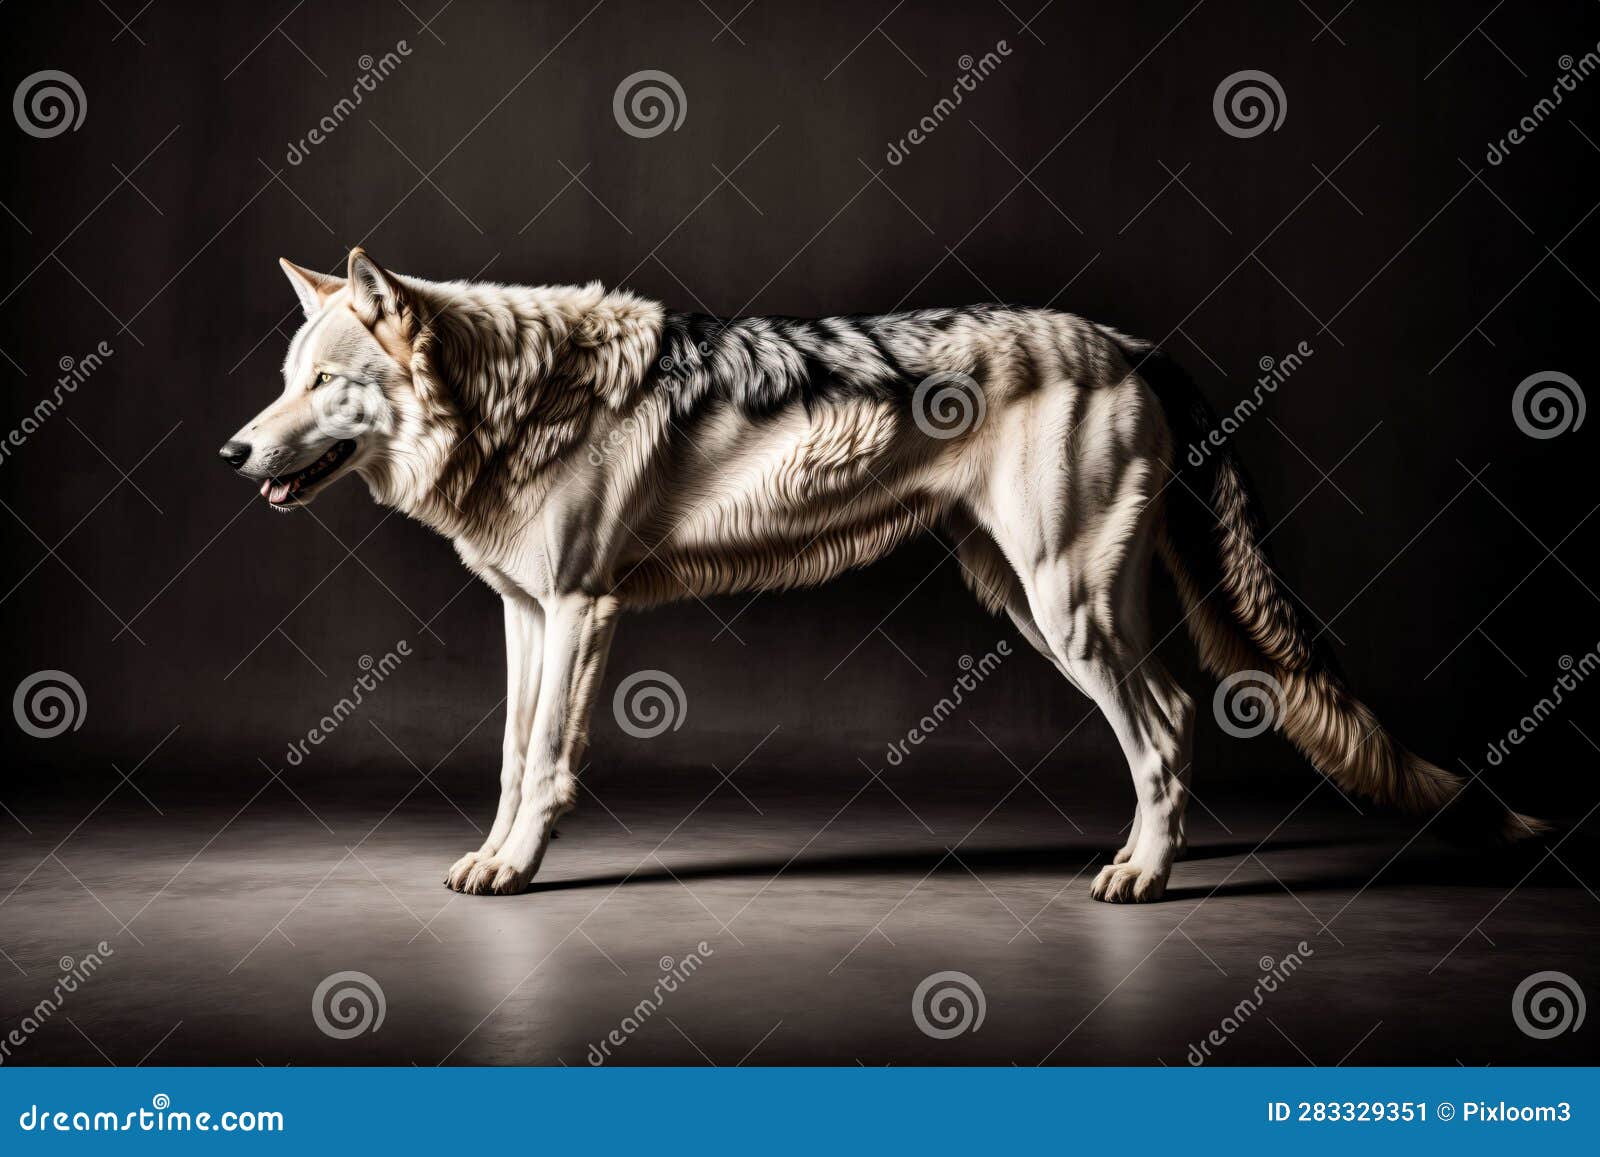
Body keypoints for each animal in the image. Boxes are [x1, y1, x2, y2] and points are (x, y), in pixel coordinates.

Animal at [220, 248, 1542, 901]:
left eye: (322, 383)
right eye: (283, 379)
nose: (231, 453)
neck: (515, 396)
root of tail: (1129, 343)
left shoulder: (582, 612)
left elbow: (546, 761)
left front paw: (517, 870)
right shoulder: (523, 614)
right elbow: (506, 757)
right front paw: (491, 855)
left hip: (1065, 606)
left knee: (1165, 724)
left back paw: (1145, 875)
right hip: (1031, 597)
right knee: (1168, 720)